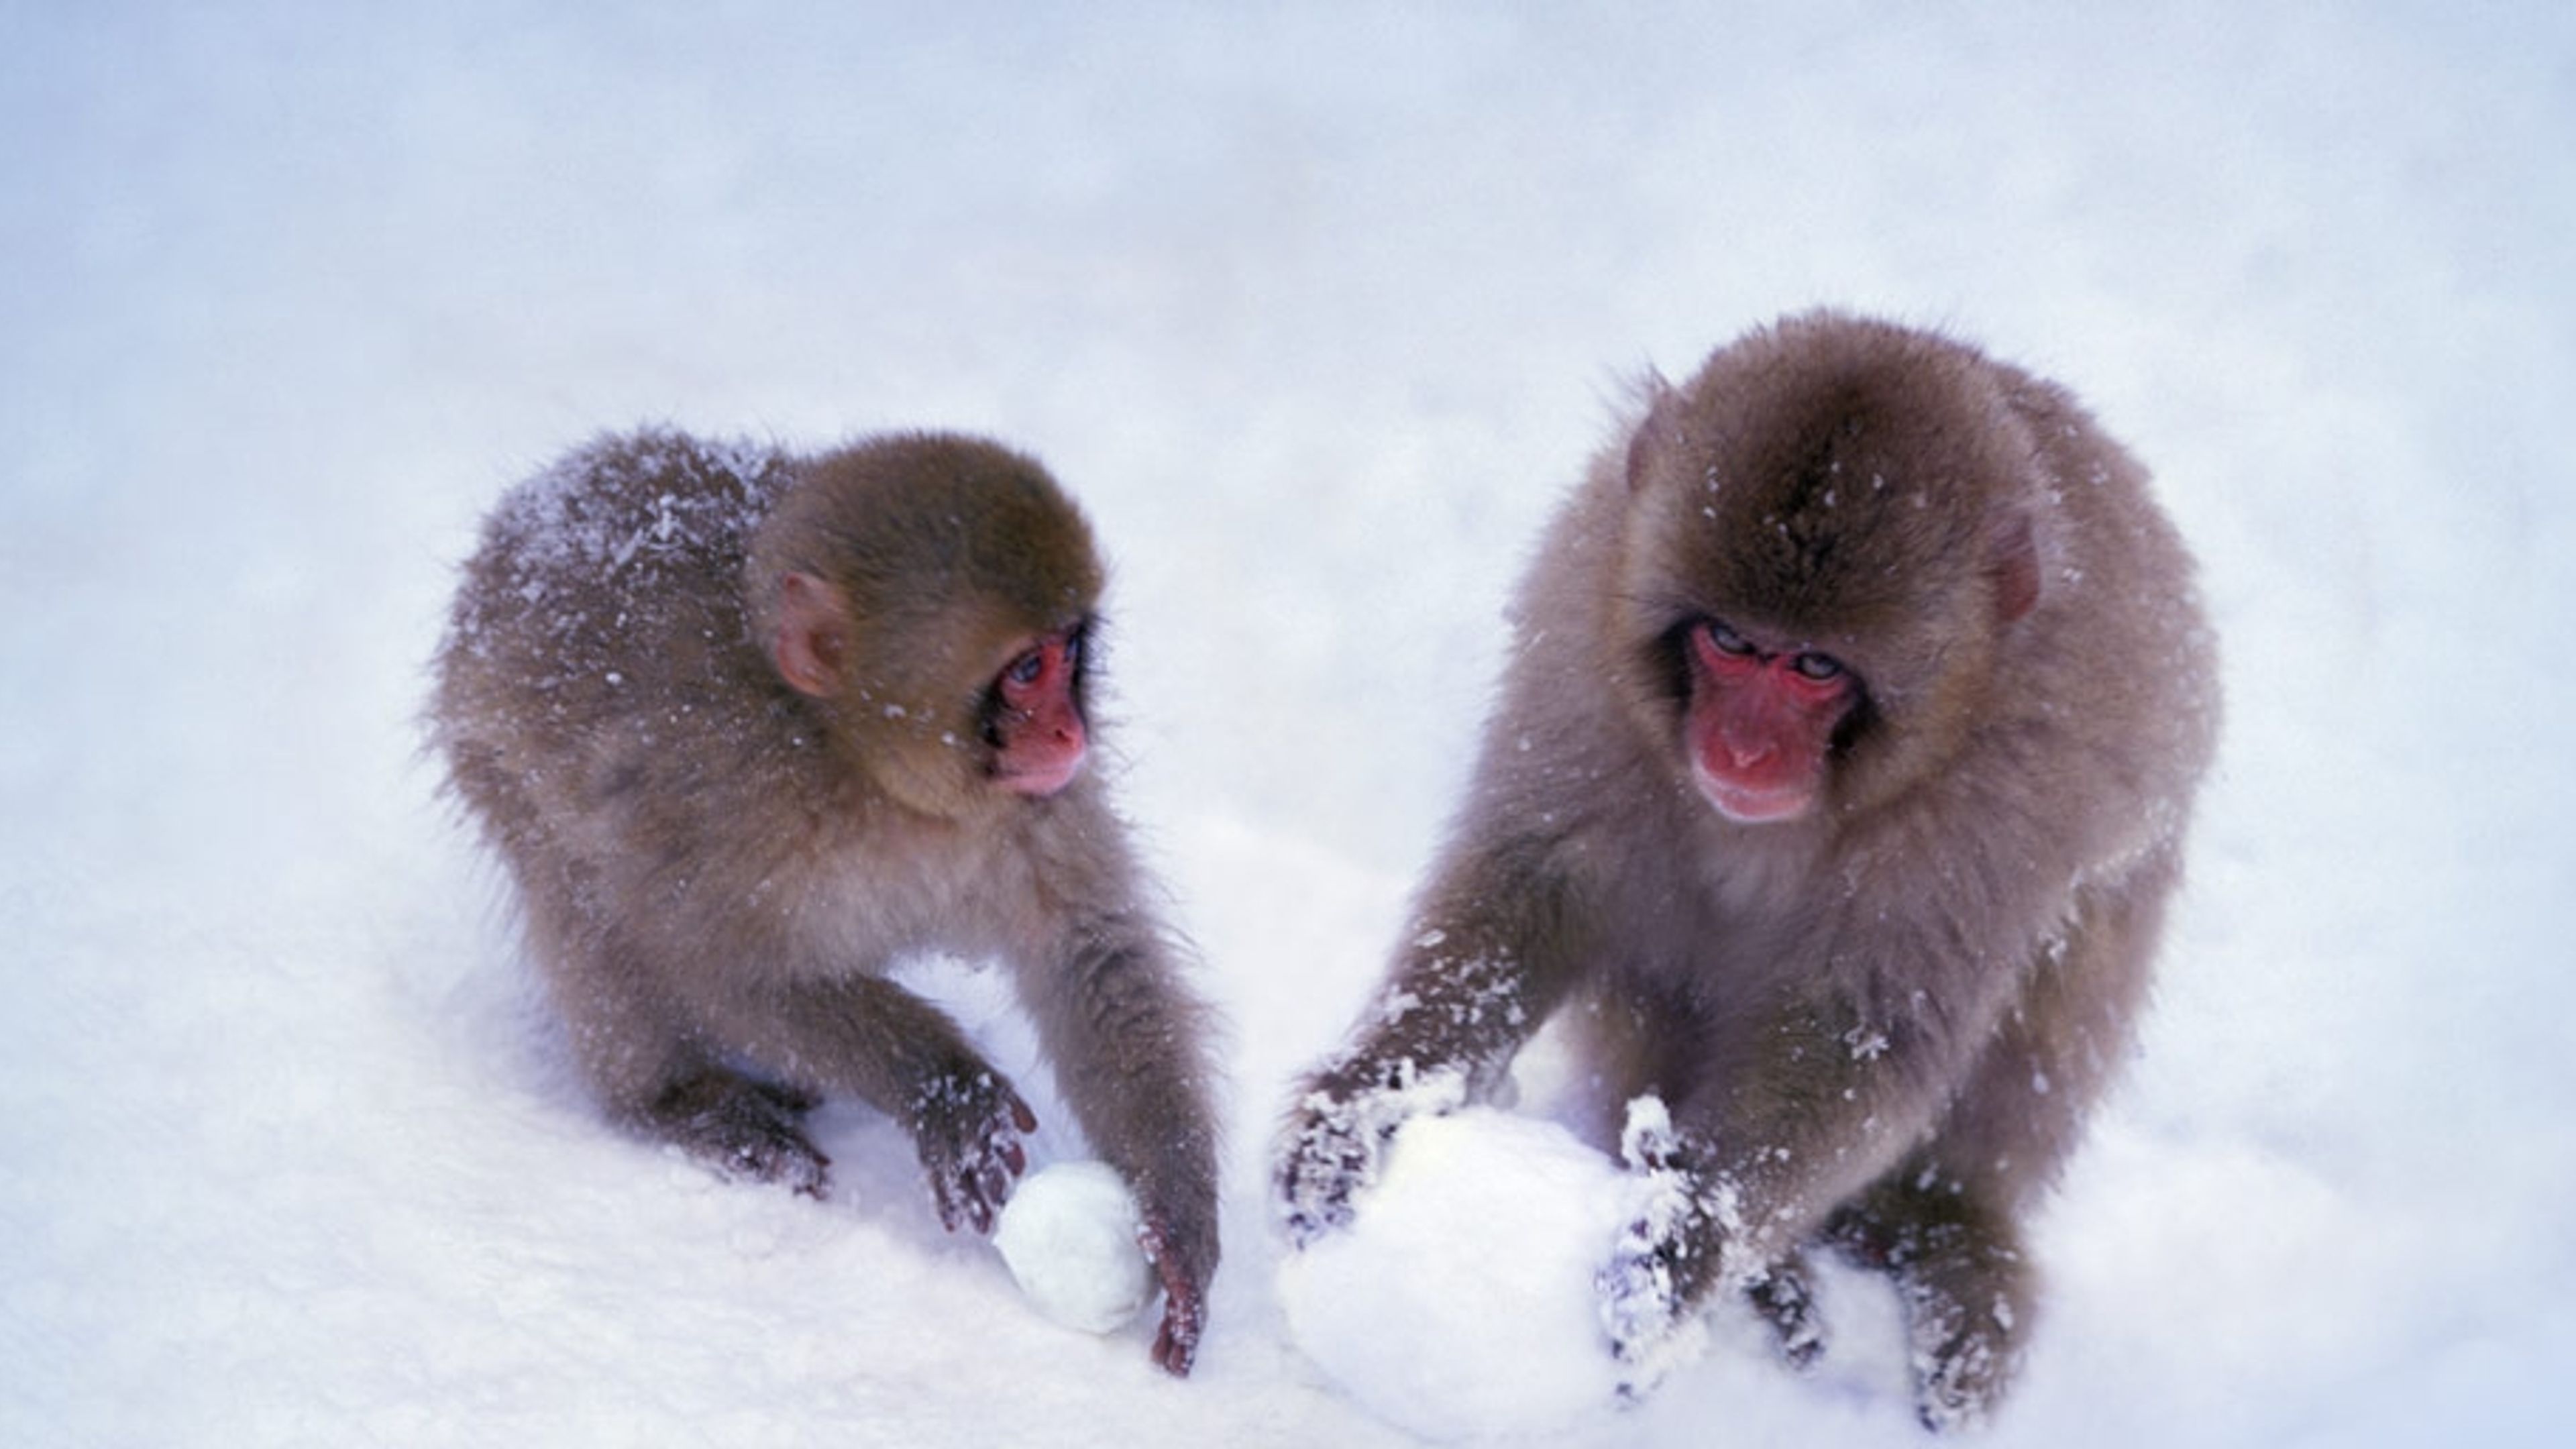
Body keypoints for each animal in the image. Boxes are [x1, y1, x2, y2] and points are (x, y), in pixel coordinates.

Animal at [429, 428, 1221, 1376]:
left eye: (1072, 653)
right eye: (1027, 670)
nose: (1073, 732)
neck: (868, 772)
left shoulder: (1037, 809)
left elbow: (1090, 958)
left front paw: (1179, 1221)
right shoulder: (728, 804)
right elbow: (713, 968)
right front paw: (939, 1083)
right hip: (487, 747)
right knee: (583, 901)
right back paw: (676, 1104)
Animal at [1276, 312, 2218, 1430]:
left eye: (1814, 667)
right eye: (1729, 641)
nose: (1742, 751)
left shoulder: (2003, 785)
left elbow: (1860, 1025)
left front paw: (1687, 1239)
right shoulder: (1586, 638)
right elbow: (1537, 883)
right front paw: (1368, 1100)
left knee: (2067, 985)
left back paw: (1948, 1231)